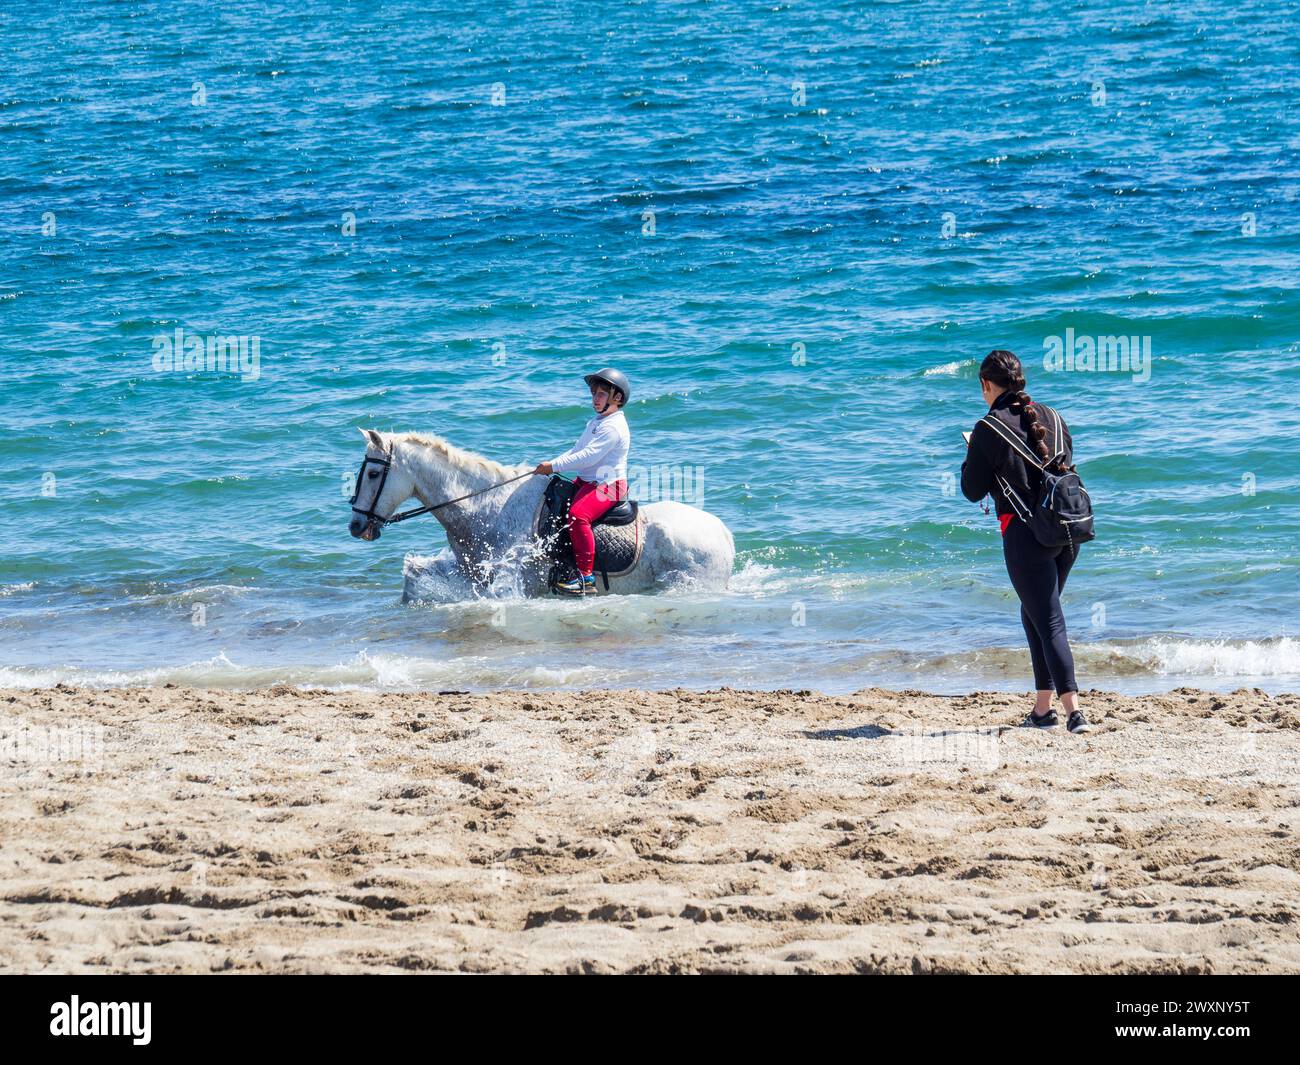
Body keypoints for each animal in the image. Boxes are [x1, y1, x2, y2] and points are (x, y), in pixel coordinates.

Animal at [347, 429, 735, 598]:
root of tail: (723, 533)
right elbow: (416, 579)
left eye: (373, 473)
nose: (356, 525)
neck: (486, 506)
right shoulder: (470, 574)